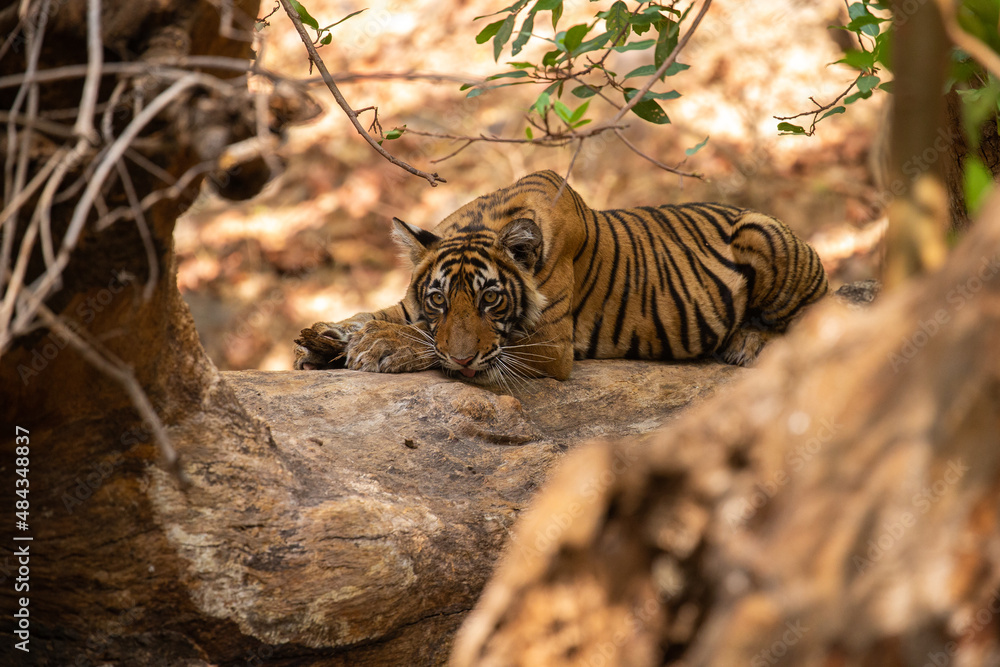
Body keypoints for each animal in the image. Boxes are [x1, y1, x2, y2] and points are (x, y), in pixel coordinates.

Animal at [293, 170, 828, 385]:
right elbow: (376, 314)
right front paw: (324, 340)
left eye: (491, 299)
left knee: (818, 313)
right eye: (438, 299)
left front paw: (380, 347)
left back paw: (749, 341)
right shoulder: (410, 305)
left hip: (762, 232)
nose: (464, 361)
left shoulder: (550, 345)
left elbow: (428, 340)